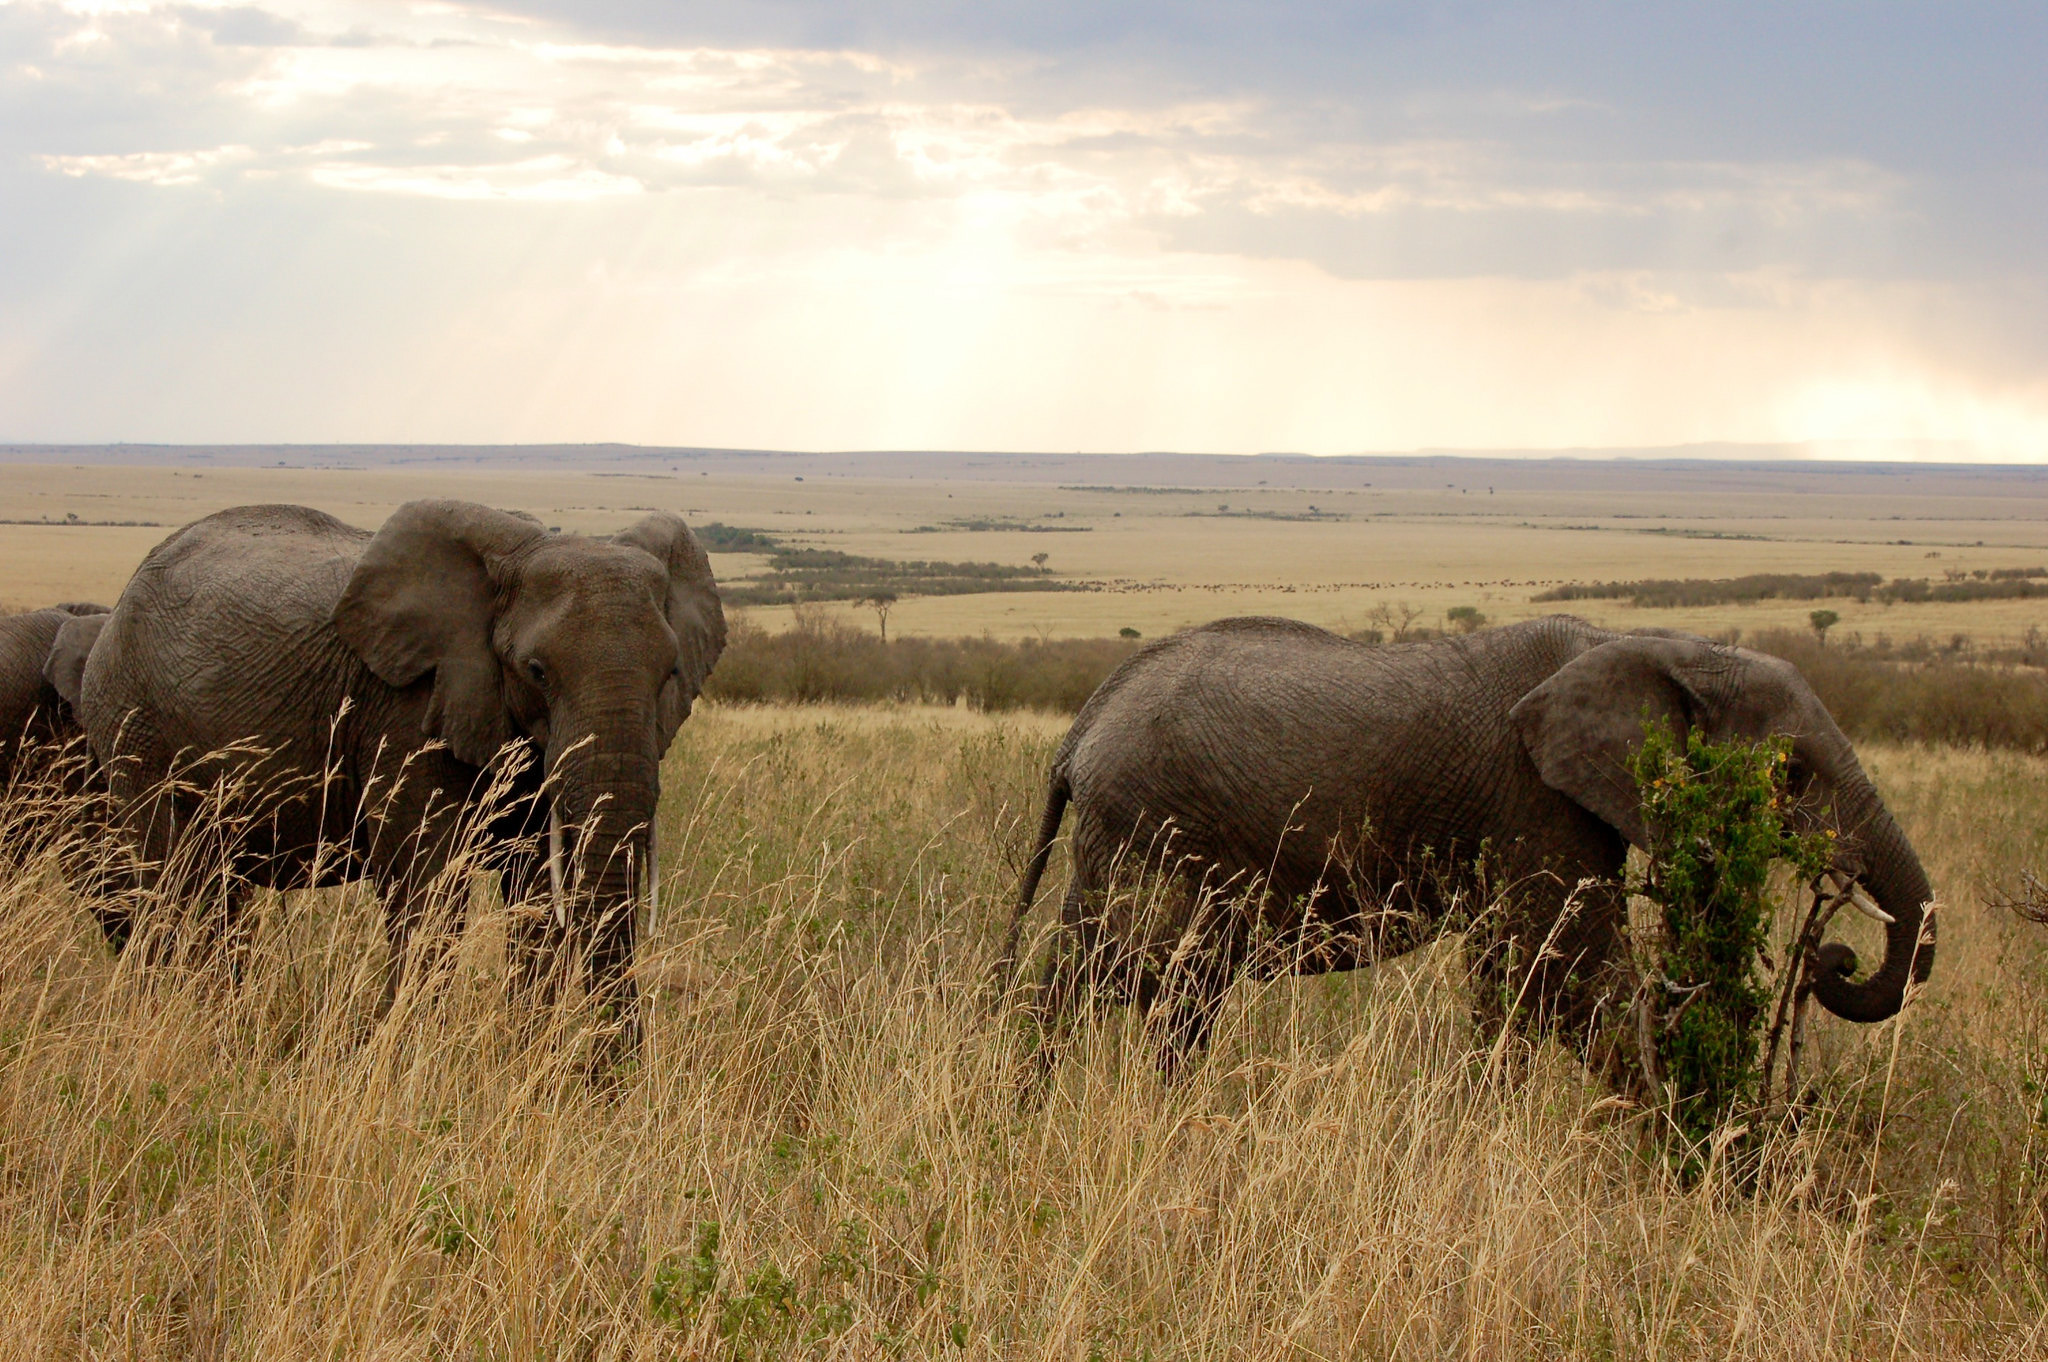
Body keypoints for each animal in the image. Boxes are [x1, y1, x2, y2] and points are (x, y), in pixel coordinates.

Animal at [78, 501, 725, 1055]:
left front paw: (525, 1066)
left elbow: (534, 892)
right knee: (174, 882)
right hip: (132, 722)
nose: (614, 1081)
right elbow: (428, 885)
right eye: (537, 671)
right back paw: (180, 1031)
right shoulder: (408, 706)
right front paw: (408, 1060)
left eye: (671, 672)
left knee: (216, 887)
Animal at [997, 615, 1935, 1075]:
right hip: (1147, 835)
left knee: (1177, 996)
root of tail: (1082, 728)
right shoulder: (1535, 798)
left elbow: (1512, 982)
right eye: (1792, 774)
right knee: (1103, 977)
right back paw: (1028, 1109)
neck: (1661, 644)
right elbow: (1577, 979)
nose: (1834, 956)